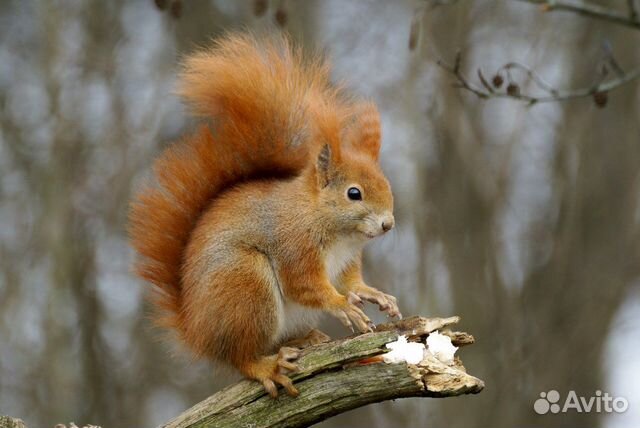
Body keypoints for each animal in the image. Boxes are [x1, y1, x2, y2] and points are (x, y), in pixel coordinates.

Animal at [128, 33, 401, 398]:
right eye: (353, 194)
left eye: (386, 185)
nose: (388, 224)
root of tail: (197, 332)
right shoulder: (294, 246)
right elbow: (305, 285)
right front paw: (342, 304)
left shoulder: (345, 262)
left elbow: (351, 282)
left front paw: (374, 294)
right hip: (246, 285)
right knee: (242, 357)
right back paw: (266, 366)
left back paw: (304, 339)